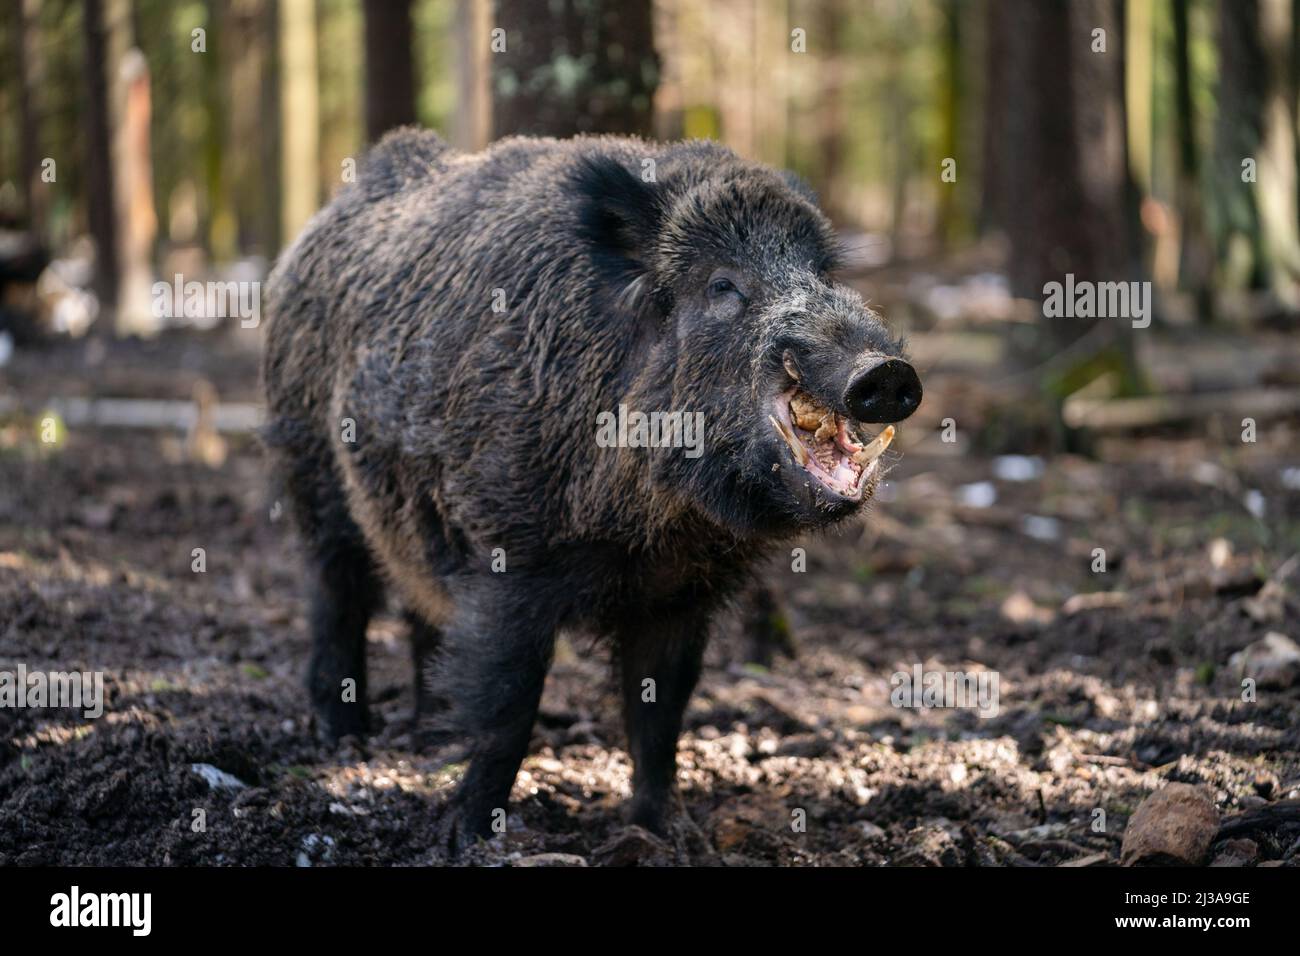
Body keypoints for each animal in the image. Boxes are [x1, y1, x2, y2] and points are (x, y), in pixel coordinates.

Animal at [262, 128, 921, 851]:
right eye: (722, 284)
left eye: (822, 274)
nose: (886, 371)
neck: (654, 524)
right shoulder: (510, 554)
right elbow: (509, 704)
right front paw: (470, 836)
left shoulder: (683, 594)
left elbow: (661, 713)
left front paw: (669, 836)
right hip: (310, 467)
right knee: (336, 595)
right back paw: (345, 741)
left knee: (420, 610)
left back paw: (428, 736)